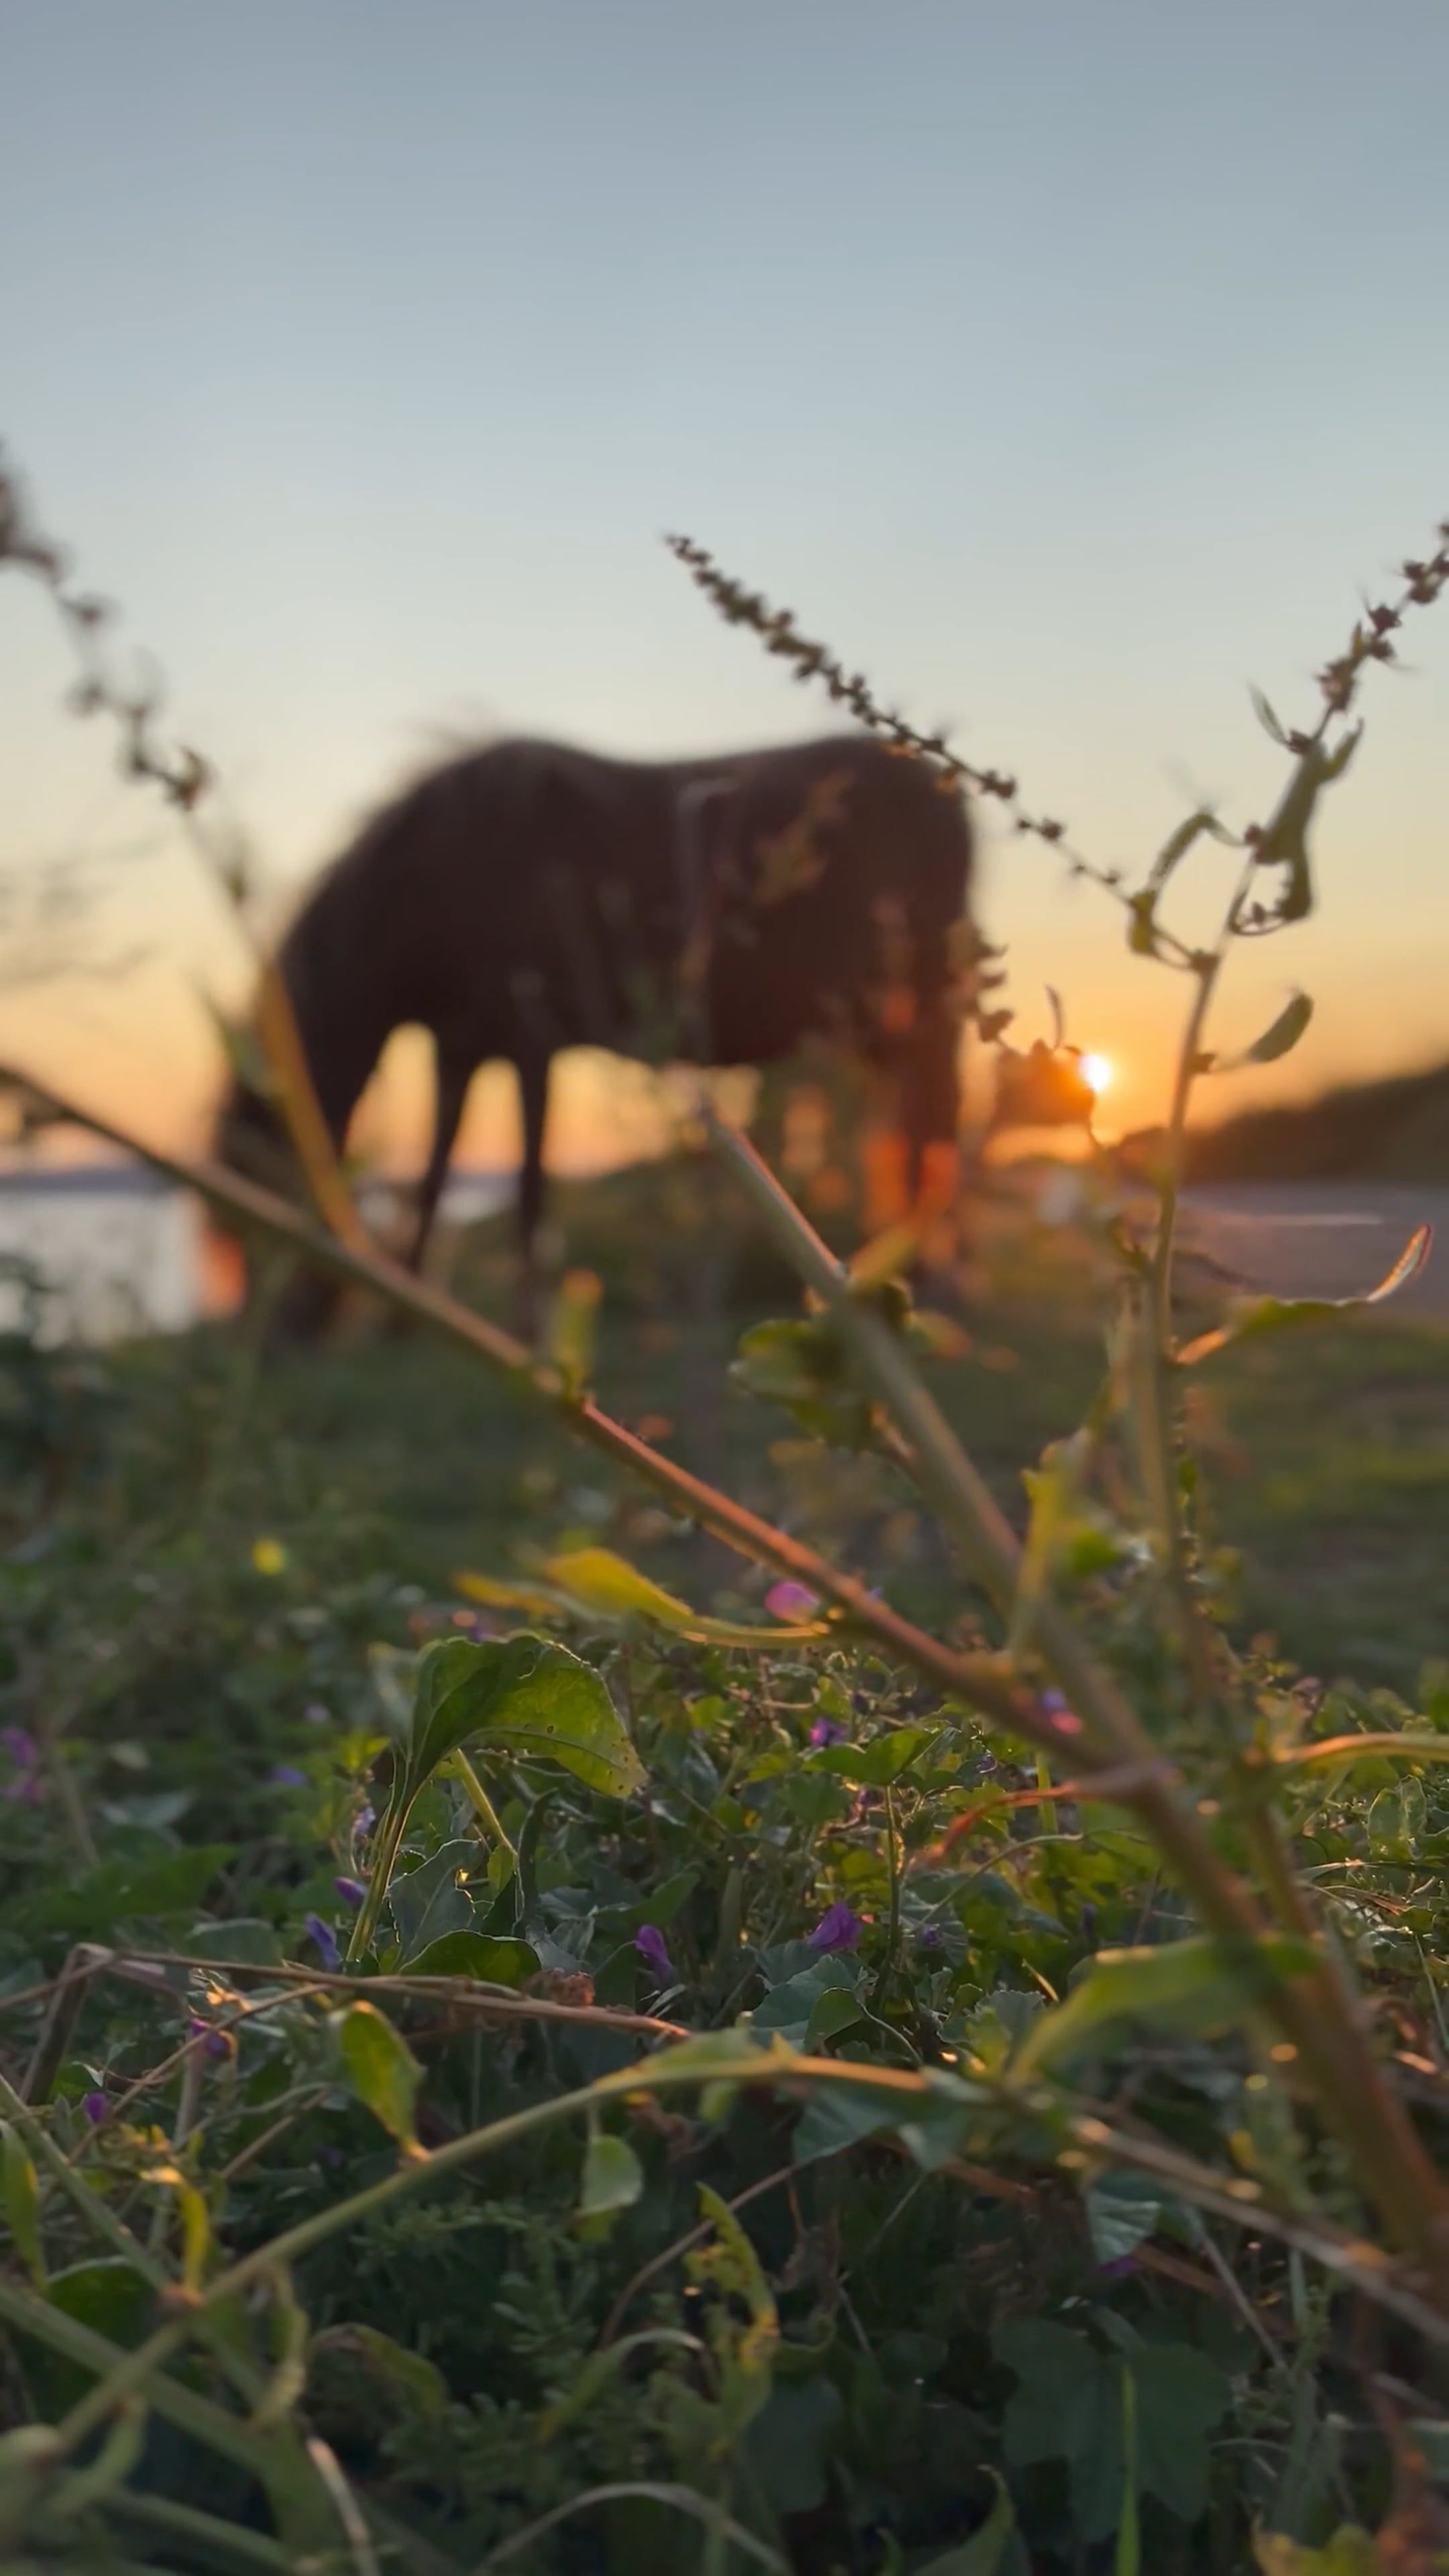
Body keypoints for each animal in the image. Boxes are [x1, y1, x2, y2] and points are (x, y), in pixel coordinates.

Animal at [214, 732, 974, 1330]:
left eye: (261, 1185)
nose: (274, 1331)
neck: (443, 871)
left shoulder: (529, 1046)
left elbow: (528, 1189)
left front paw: (525, 1324)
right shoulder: (459, 1051)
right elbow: (433, 1177)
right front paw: (406, 1319)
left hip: (924, 1015)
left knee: (933, 1129)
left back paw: (932, 1283)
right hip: (881, 1035)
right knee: (904, 1132)